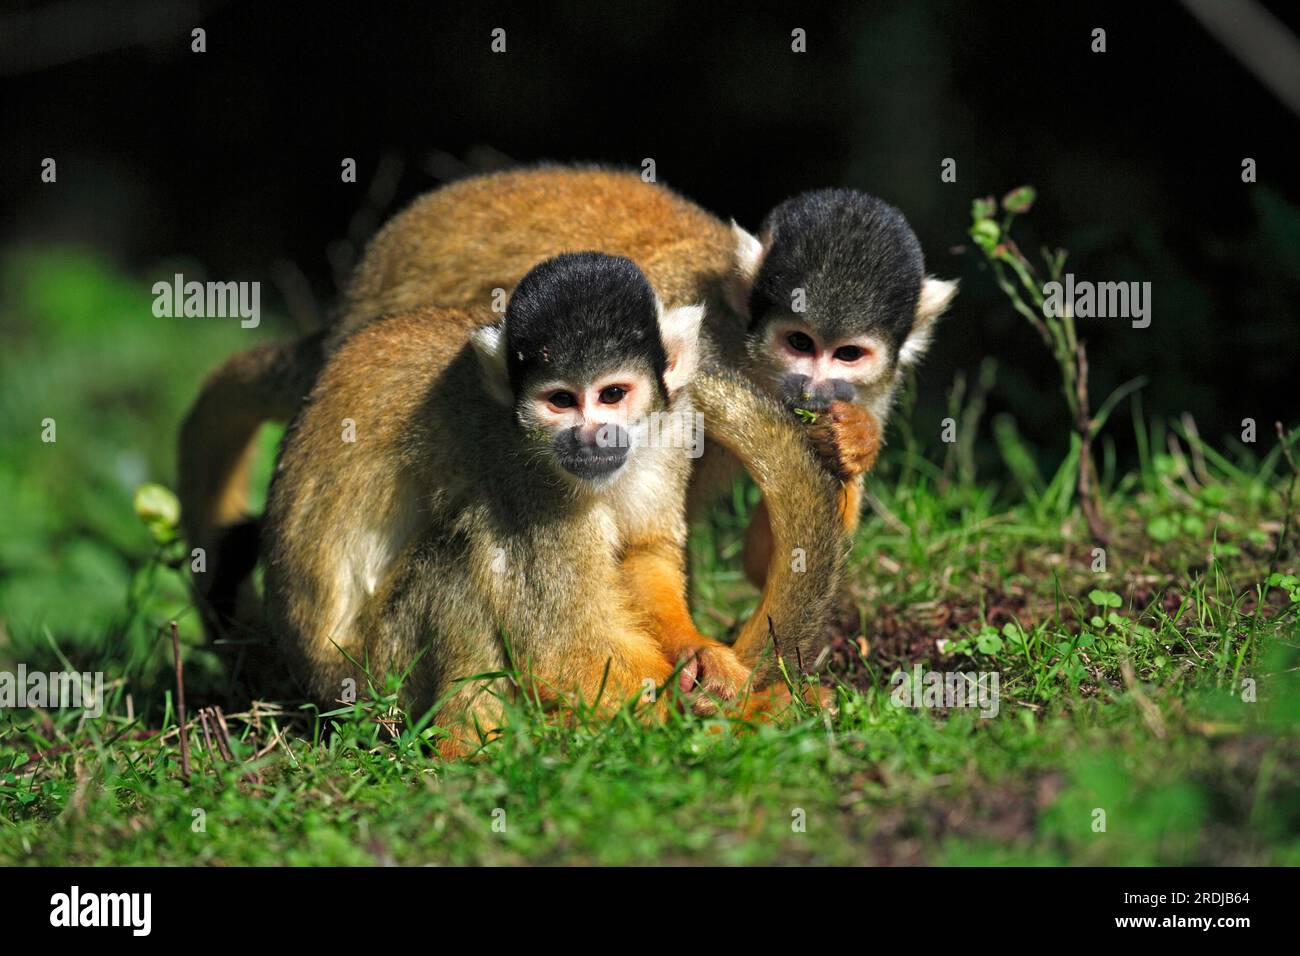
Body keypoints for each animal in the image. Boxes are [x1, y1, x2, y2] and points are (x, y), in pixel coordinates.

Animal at [261, 252, 846, 754]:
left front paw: (701, 652)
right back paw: (474, 747)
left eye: (612, 394)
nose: (592, 439)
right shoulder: (522, 471)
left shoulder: (674, 421)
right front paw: (750, 714)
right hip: (374, 675)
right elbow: (564, 641)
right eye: (560, 401)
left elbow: (642, 551)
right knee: (464, 558)